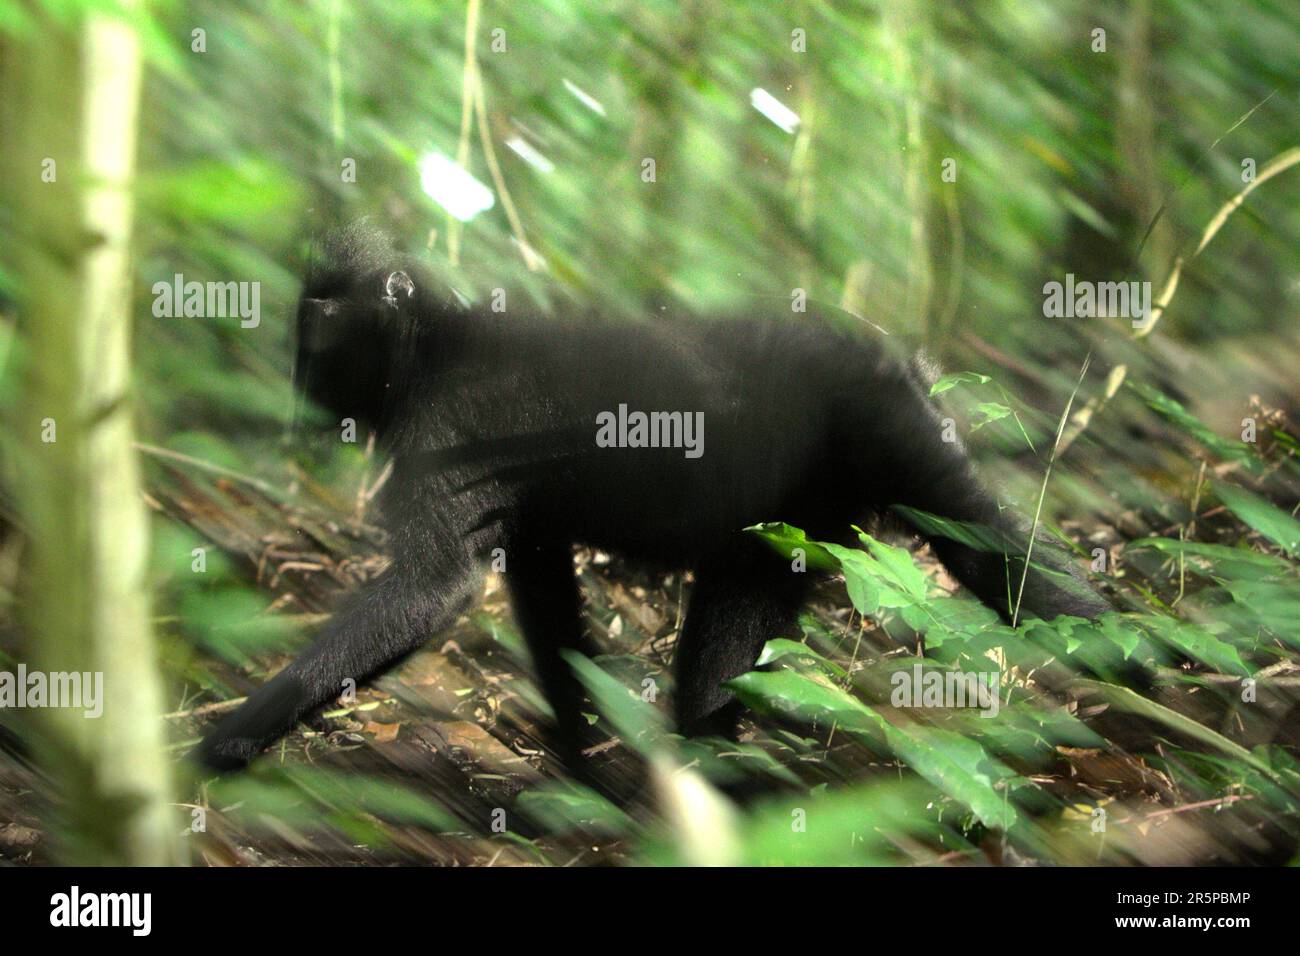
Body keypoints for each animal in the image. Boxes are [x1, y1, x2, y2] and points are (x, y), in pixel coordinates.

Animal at [197, 221, 1109, 774]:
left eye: (313, 342)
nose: (296, 393)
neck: (435, 347)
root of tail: (901, 361)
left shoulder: (444, 434)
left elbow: (429, 589)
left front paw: (220, 742)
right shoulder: (534, 532)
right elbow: (559, 637)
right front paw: (578, 769)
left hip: (904, 452)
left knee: (1016, 570)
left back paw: (1130, 670)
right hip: (779, 537)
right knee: (717, 664)